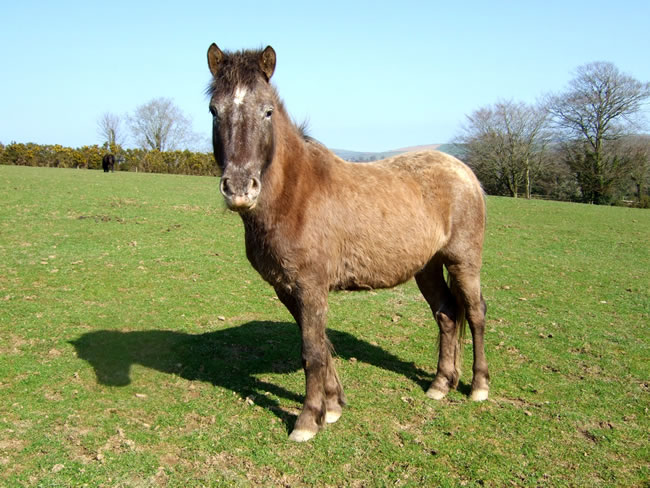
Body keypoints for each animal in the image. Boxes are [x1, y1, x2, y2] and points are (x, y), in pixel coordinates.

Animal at [206, 44, 489, 442]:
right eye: (214, 110)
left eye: (267, 111)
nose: (239, 188)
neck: (296, 195)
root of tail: (464, 171)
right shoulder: (287, 289)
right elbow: (321, 346)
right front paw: (334, 406)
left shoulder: (310, 288)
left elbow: (311, 351)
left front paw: (307, 421)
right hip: (427, 268)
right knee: (448, 314)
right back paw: (440, 385)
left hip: (463, 261)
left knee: (476, 313)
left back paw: (478, 386)